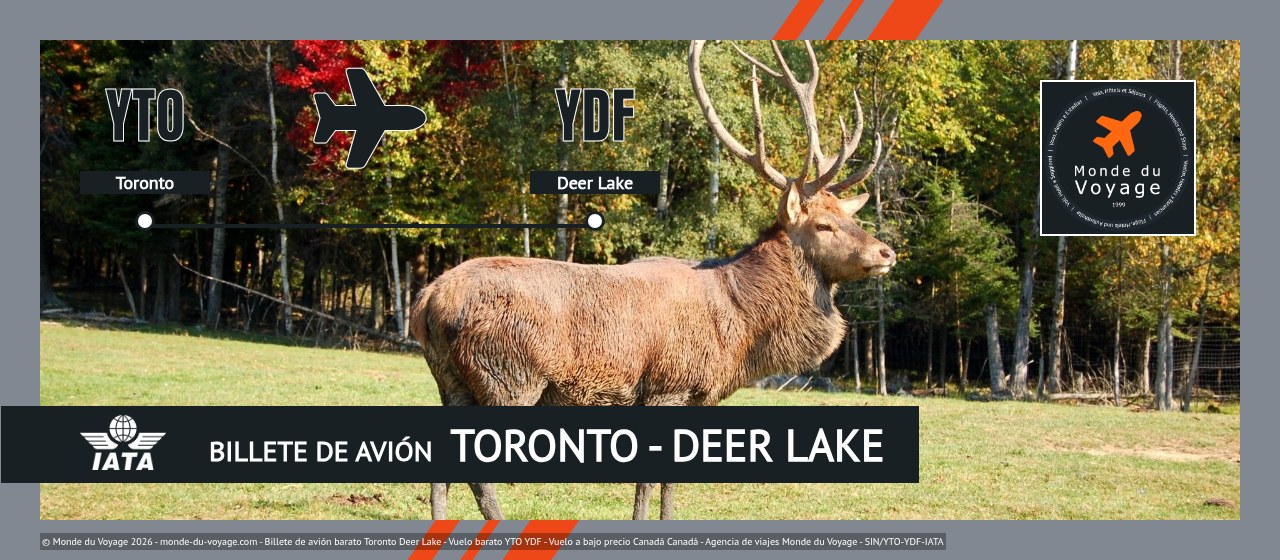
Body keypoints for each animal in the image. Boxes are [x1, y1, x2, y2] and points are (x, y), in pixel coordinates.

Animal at [409, 39, 894, 521]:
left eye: (849, 217)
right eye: (824, 226)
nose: (886, 252)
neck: (738, 328)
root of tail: (427, 300)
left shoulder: (692, 397)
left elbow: (670, 481)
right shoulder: (667, 385)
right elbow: (648, 482)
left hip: (451, 381)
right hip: (509, 376)